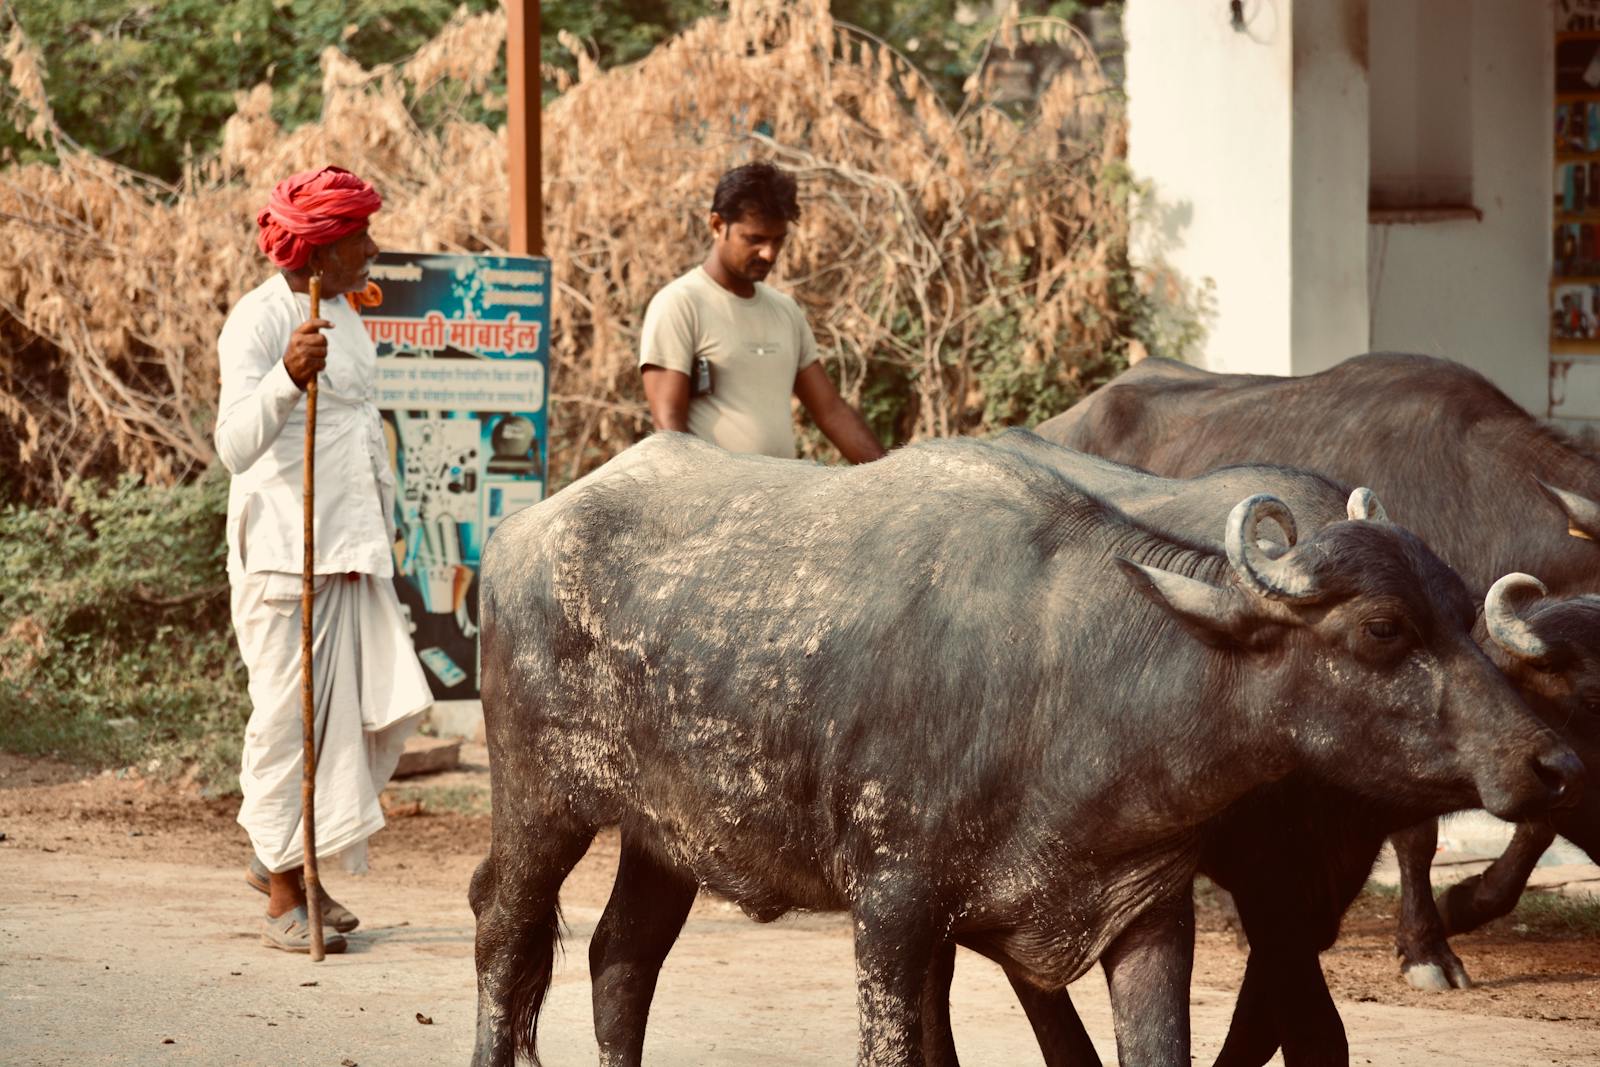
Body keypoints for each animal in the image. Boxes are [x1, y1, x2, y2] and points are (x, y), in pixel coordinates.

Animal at [469, 431, 1576, 1067]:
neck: (1071, 681)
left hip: (664, 832)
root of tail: (523, 529)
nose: (1552, 763)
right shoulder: (893, 909)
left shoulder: (1149, 914)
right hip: (540, 803)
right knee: (503, 933)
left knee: (620, 957)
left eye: (1460, 610)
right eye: (1383, 628)